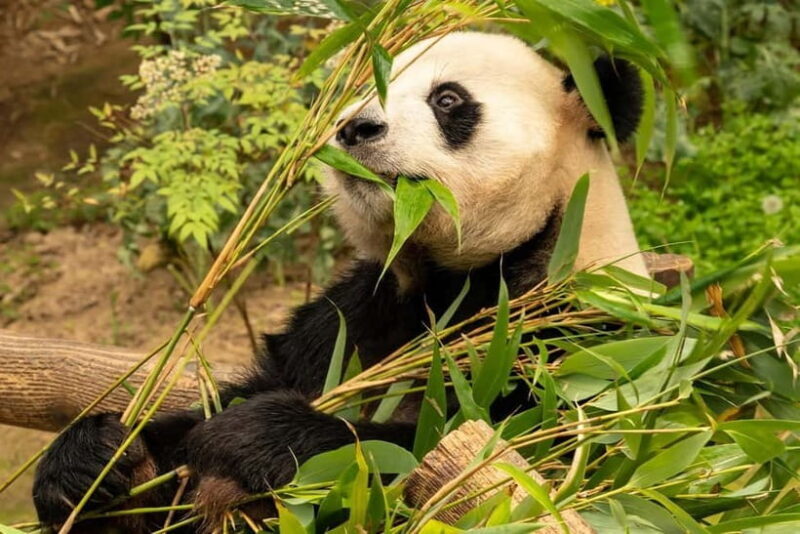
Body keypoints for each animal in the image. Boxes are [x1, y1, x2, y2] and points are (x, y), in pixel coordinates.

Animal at [33, 31, 646, 532]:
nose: (354, 127)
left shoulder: (572, 343)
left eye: (447, 99)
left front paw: (255, 436)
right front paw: (95, 462)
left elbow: (487, 457)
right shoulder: (356, 313)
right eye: (369, 85)